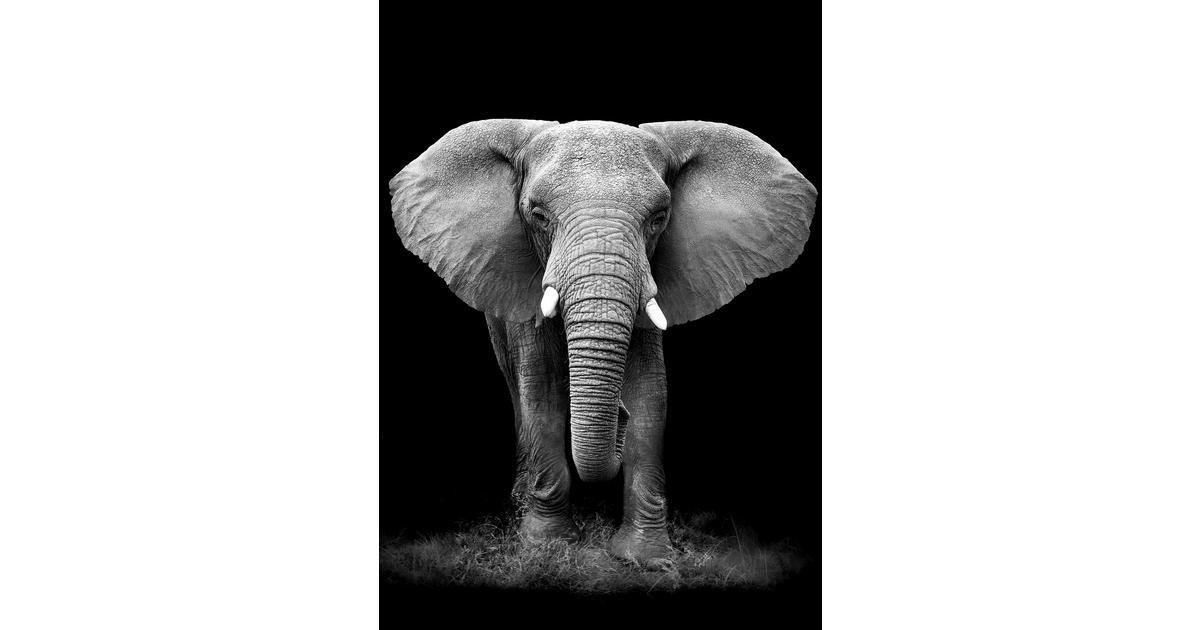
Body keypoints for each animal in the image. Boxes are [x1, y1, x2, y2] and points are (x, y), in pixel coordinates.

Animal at [389, 119, 817, 567]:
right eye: (538, 216)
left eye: (659, 218)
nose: (618, 416)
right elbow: (541, 391)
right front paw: (547, 546)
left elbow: (650, 394)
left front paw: (646, 556)